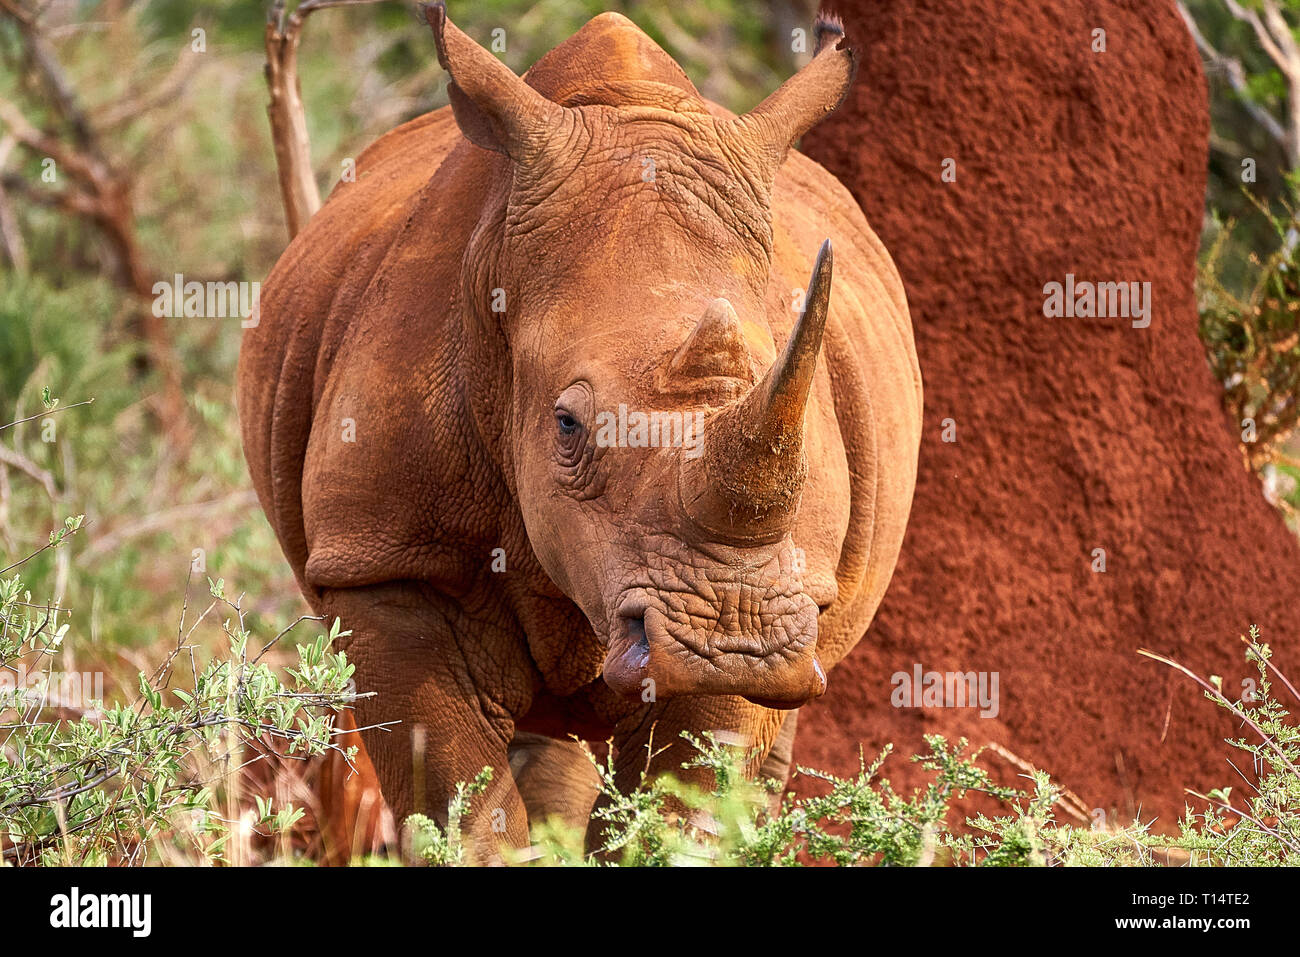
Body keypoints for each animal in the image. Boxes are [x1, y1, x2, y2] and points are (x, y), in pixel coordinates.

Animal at [238, 3, 921, 856]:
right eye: (565, 424)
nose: (731, 639)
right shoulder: (383, 557)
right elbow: (460, 802)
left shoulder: (786, 592)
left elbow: (679, 809)